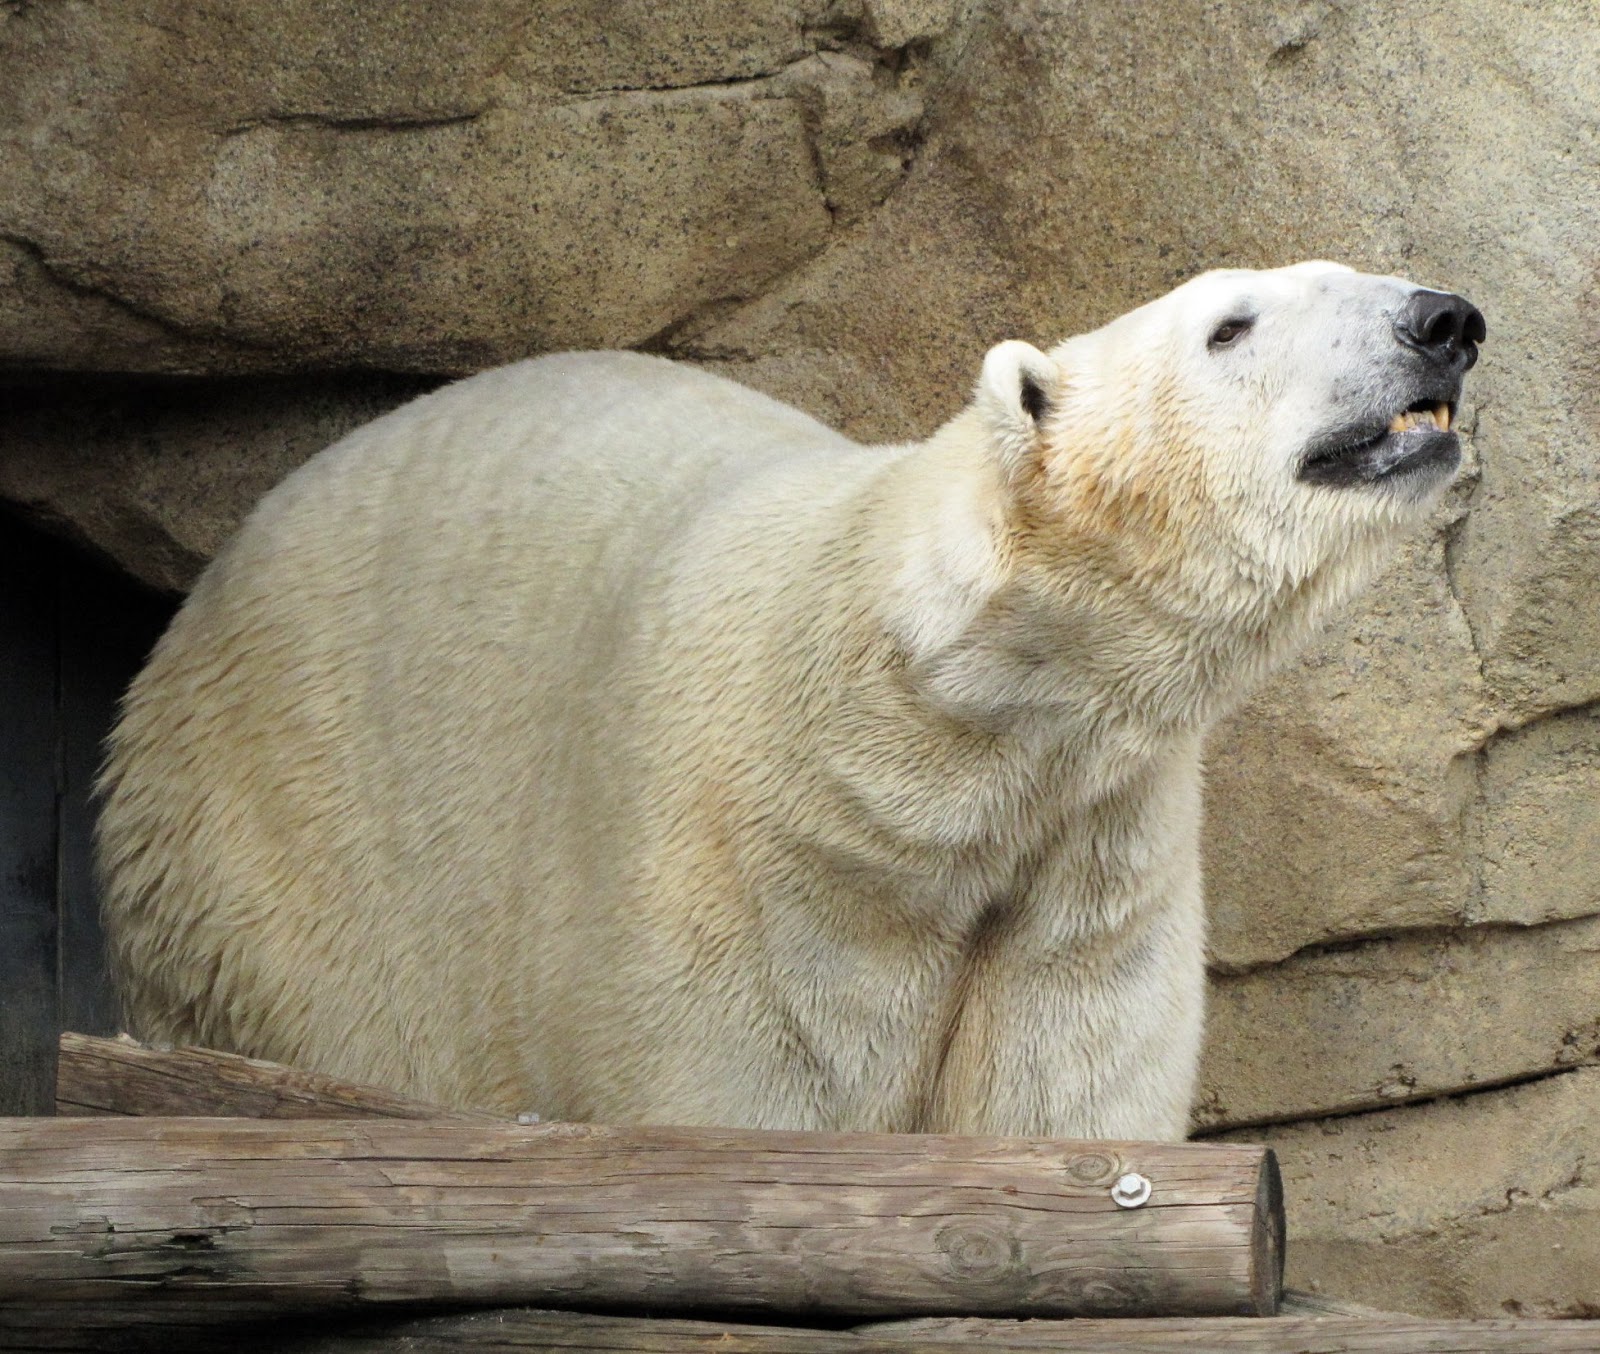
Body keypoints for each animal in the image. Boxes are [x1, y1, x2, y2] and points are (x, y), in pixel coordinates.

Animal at [97, 262, 1484, 1141]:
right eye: (1229, 326)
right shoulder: (755, 860)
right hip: (266, 870)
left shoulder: (1090, 855)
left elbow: (1062, 1103)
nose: (1445, 318)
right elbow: (738, 1098)